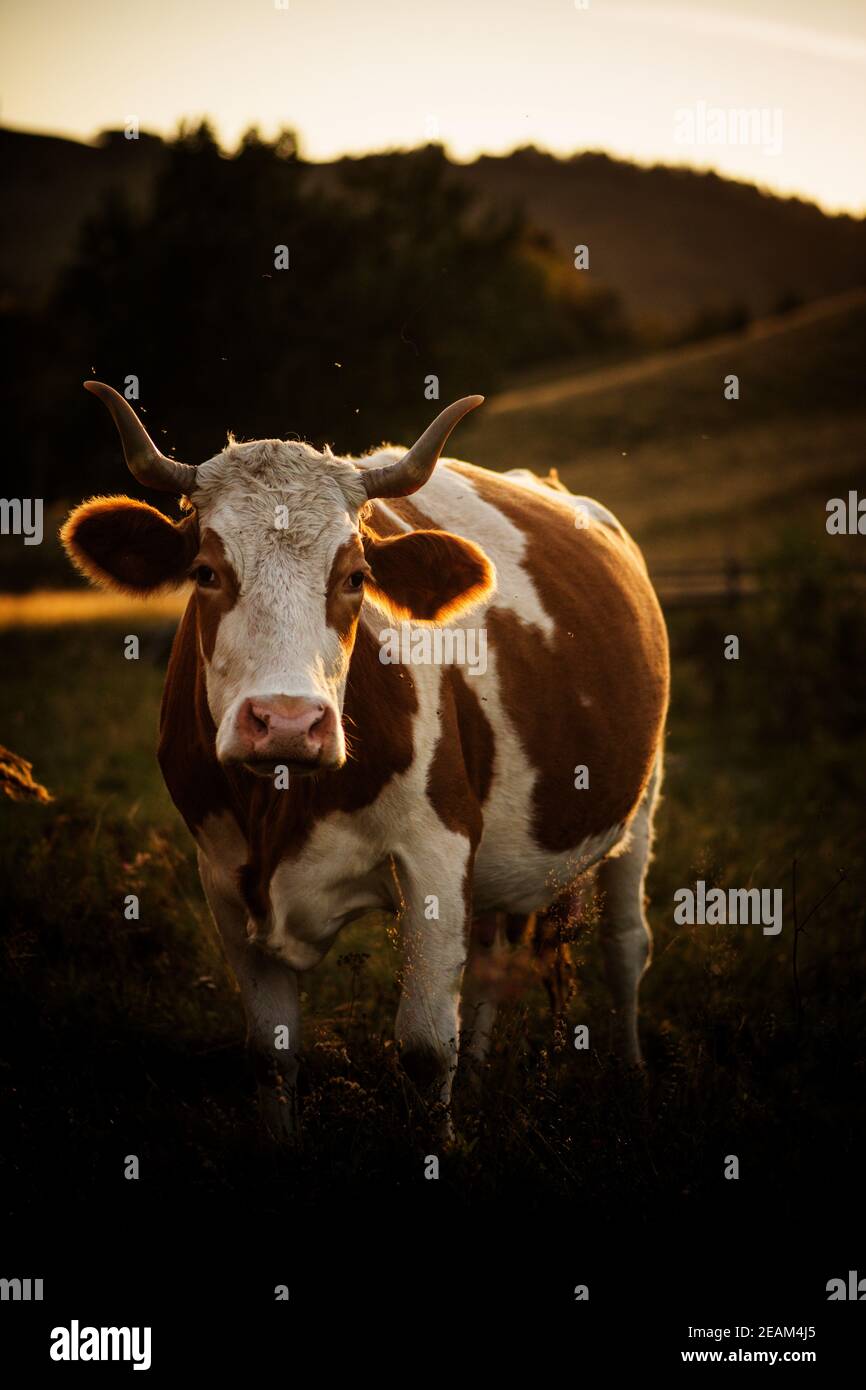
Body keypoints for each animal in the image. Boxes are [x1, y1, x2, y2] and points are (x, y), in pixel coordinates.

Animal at [62, 381, 669, 1140]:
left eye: (355, 576)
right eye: (205, 572)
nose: (287, 722)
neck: (282, 806)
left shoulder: (436, 849)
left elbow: (425, 1046)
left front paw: (440, 1146)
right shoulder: (221, 872)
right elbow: (270, 1053)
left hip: (637, 809)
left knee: (625, 947)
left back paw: (633, 1078)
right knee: (494, 955)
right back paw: (479, 1087)